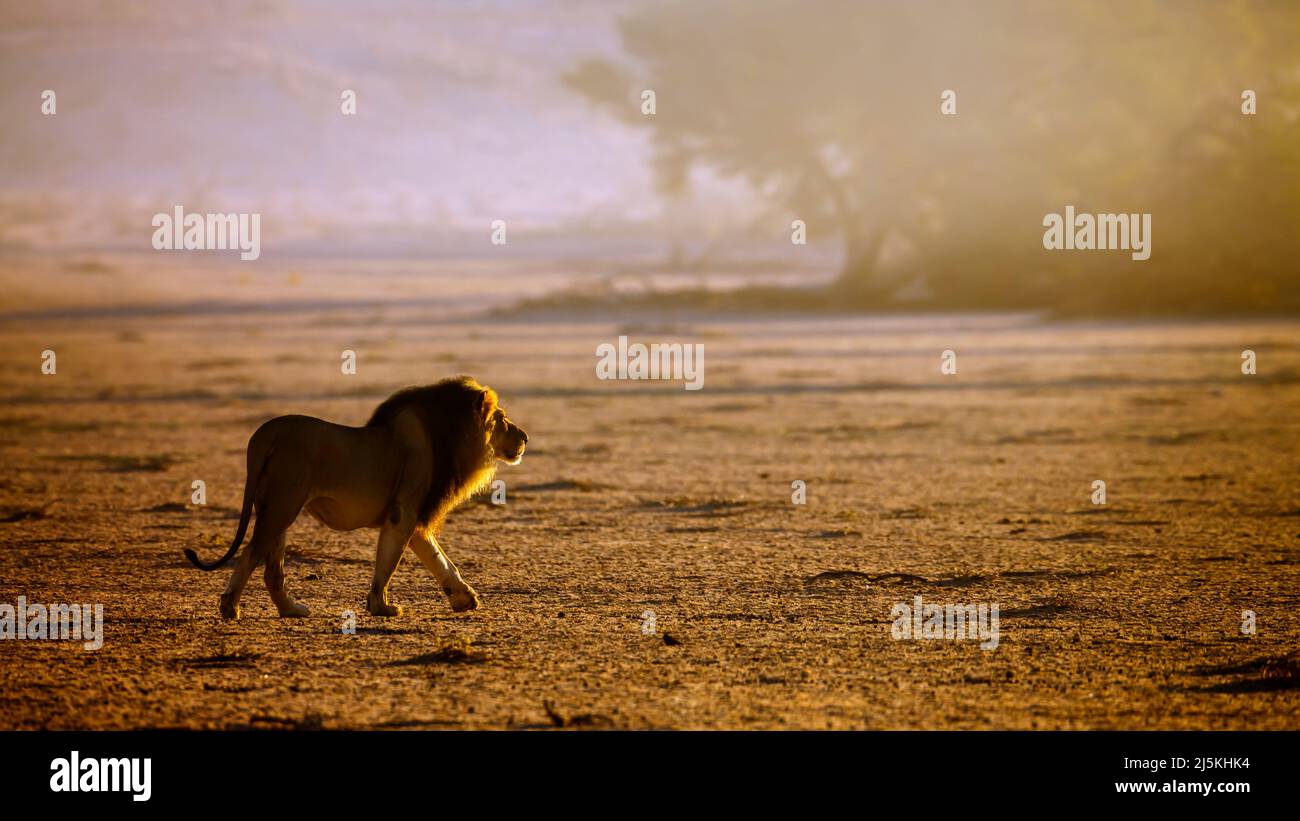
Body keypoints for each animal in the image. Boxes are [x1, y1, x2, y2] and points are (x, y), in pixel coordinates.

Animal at [183, 376, 528, 620]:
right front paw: (381, 607)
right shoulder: (403, 510)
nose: (525, 437)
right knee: (251, 552)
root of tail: (266, 433)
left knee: (272, 569)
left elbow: (438, 558)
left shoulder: (415, 516)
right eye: (501, 418)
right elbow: (389, 561)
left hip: (275, 507)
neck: (449, 435)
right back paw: (230, 607)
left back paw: (292, 610)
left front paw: (464, 598)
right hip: (283, 504)